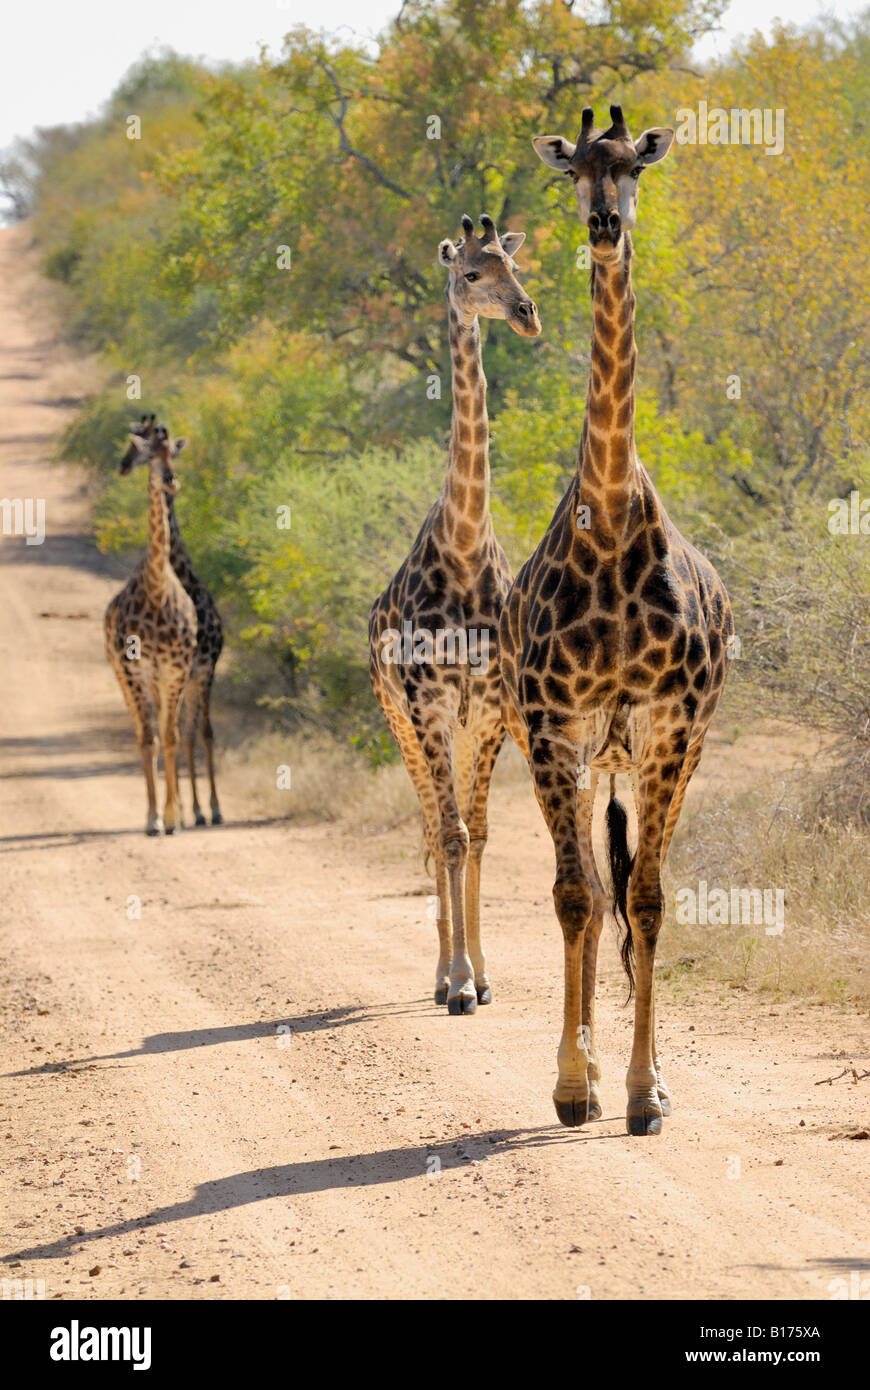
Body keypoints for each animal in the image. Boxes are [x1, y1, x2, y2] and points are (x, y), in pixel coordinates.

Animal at [121, 415, 225, 826]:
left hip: (193, 676)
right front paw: (179, 810)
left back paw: (202, 810)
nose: (122, 466)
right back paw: (183, 810)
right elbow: (176, 734)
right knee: (175, 732)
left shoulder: (202, 668)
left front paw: (206, 808)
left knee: (193, 732)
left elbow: (200, 733)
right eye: (140, 447)